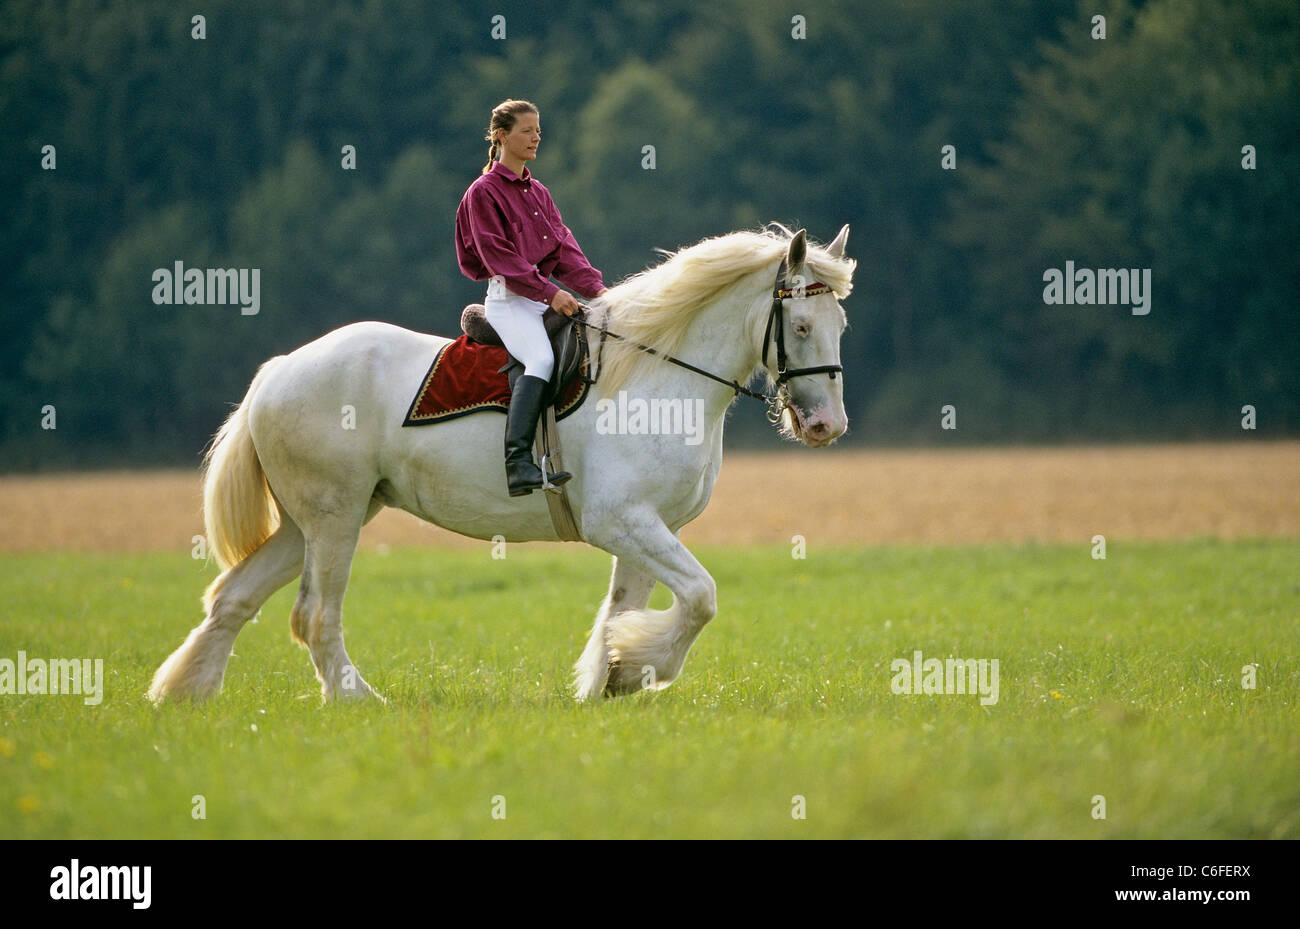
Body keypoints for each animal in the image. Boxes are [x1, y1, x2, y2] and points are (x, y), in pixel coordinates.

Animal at [147, 223, 855, 704]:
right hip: (334, 521)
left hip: (311, 523)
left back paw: (185, 694)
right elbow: (702, 597)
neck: (658, 376)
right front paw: (635, 670)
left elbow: (624, 610)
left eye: (839, 324)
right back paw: (358, 701)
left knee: (233, 600)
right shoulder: (621, 522)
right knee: (315, 615)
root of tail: (277, 371)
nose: (827, 427)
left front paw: (614, 675)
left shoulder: (651, 529)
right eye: (799, 325)